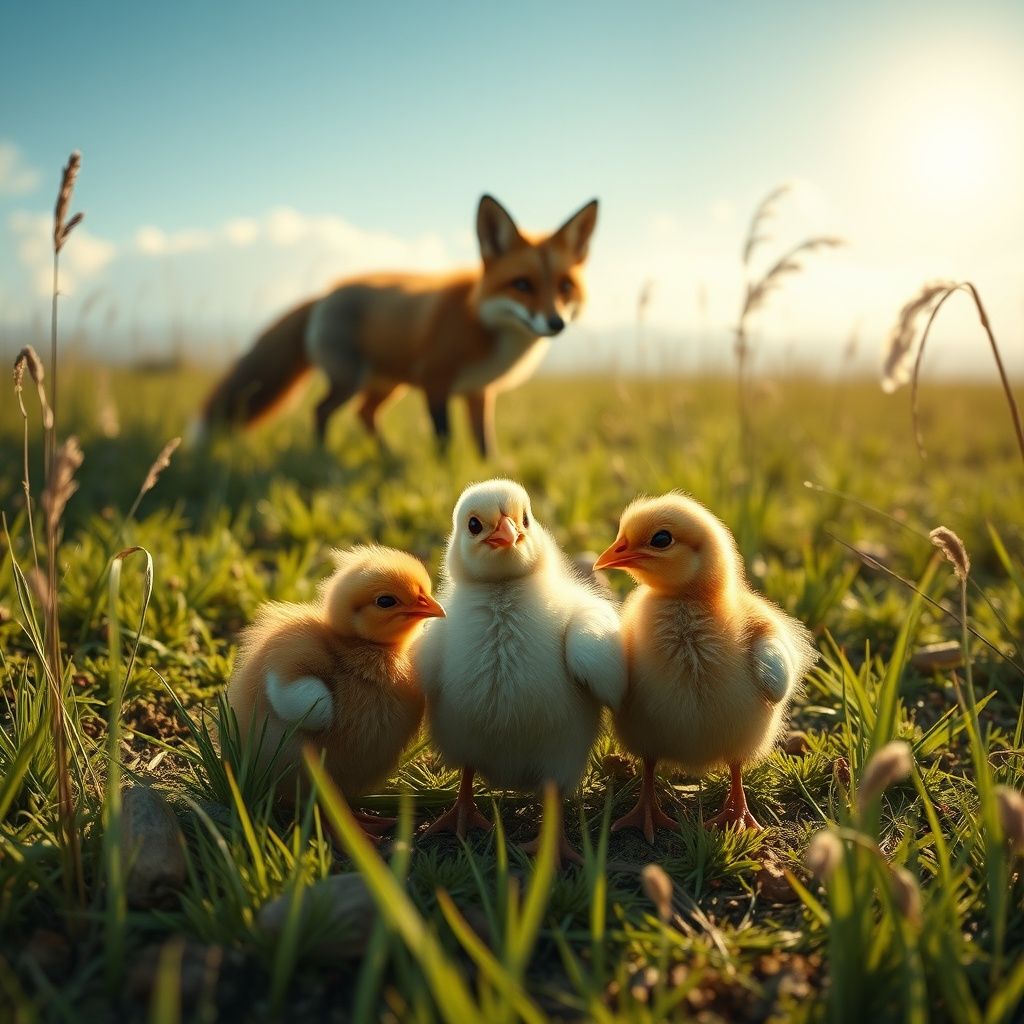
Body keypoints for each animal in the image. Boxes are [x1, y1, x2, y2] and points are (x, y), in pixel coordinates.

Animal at [196, 194, 598, 458]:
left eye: (564, 287)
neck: (482, 325)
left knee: (364, 414)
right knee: (322, 411)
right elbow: (444, 440)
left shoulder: (479, 392)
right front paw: (446, 477)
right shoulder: (436, 382)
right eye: (522, 285)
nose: (556, 322)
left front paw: (493, 476)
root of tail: (326, 293)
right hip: (351, 379)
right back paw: (324, 457)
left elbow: (485, 443)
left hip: (387, 385)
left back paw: (386, 456)